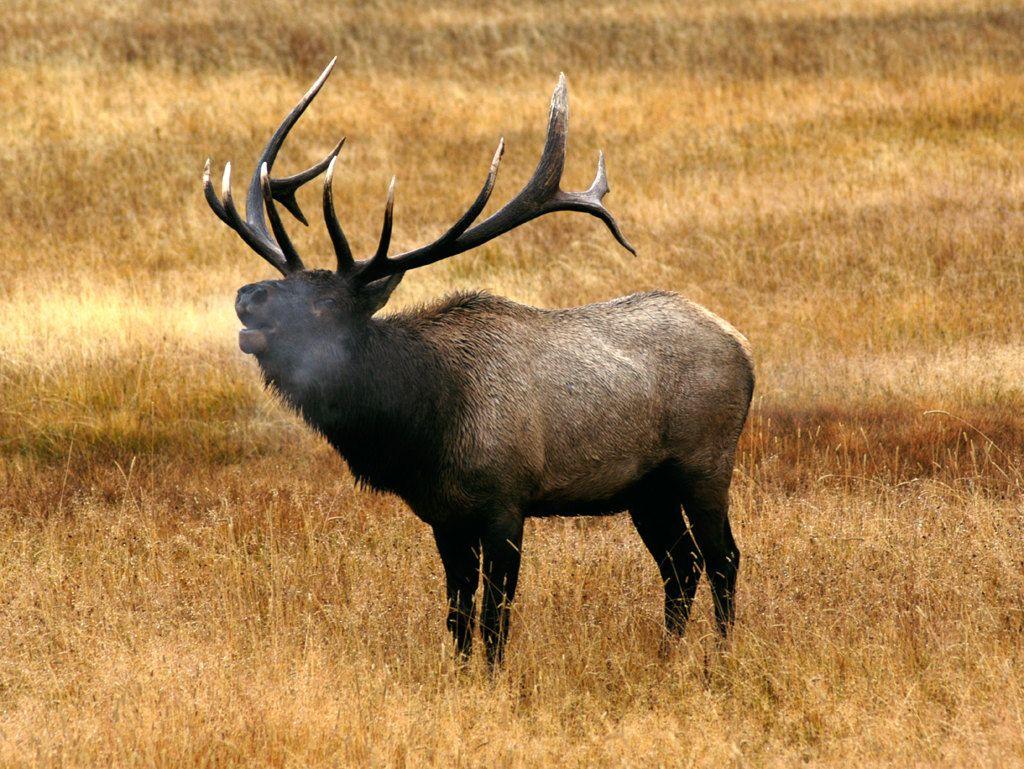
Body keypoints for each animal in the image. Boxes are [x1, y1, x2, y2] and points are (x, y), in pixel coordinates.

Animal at [203, 59, 755, 666]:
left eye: (326, 303)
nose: (247, 296)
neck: (422, 428)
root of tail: (744, 349)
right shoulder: (444, 516)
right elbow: (458, 617)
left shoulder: (505, 502)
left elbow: (495, 619)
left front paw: (493, 679)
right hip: (646, 488)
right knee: (681, 564)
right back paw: (666, 656)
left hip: (704, 460)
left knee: (723, 557)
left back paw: (721, 658)